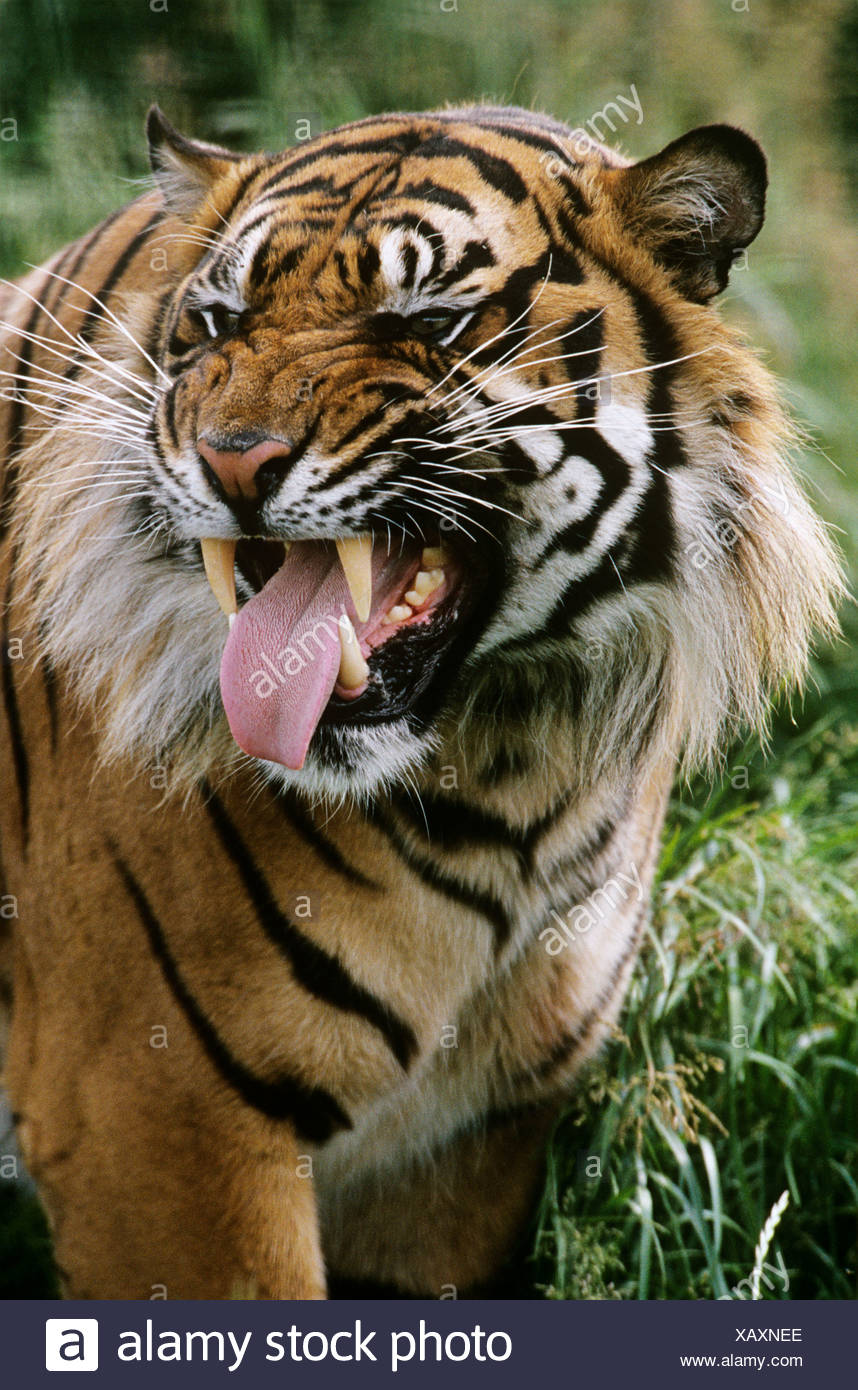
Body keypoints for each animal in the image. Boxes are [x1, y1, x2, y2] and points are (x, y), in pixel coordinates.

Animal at [0, 103, 841, 1300]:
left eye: (430, 322)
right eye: (217, 320)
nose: (231, 461)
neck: (508, 777)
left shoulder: (456, 1151)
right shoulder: (150, 1118)